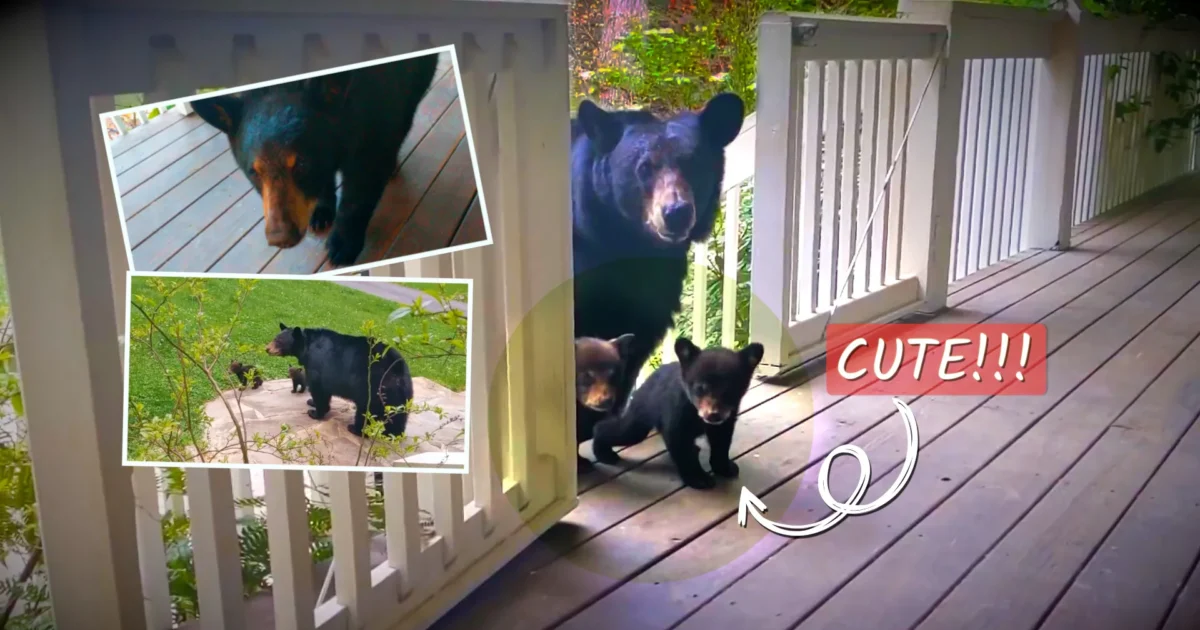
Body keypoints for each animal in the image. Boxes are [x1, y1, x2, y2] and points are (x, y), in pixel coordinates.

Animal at [189, 52, 440, 267]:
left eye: (301, 164)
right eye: (254, 172)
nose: (281, 238)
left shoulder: (376, 113)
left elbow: (362, 183)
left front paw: (343, 244)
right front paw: (321, 210)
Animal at [265, 323, 414, 437]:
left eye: (278, 341)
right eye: (275, 337)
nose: (267, 349)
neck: (307, 346)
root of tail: (397, 369)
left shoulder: (318, 365)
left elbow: (318, 389)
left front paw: (315, 412)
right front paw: (311, 402)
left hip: (373, 386)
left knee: (367, 411)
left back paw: (356, 429)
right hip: (399, 394)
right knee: (398, 416)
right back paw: (393, 434)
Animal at [590, 337, 764, 490]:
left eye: (730, 390)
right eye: (700, 387)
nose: (713, 415)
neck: (694, 411)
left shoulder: (726, 421)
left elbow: (722, 443)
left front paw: (724, 467)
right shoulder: (676, 415)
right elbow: (681, 447)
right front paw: (698, 478)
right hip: (640, 415)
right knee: (618, 429)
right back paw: (603, 452)